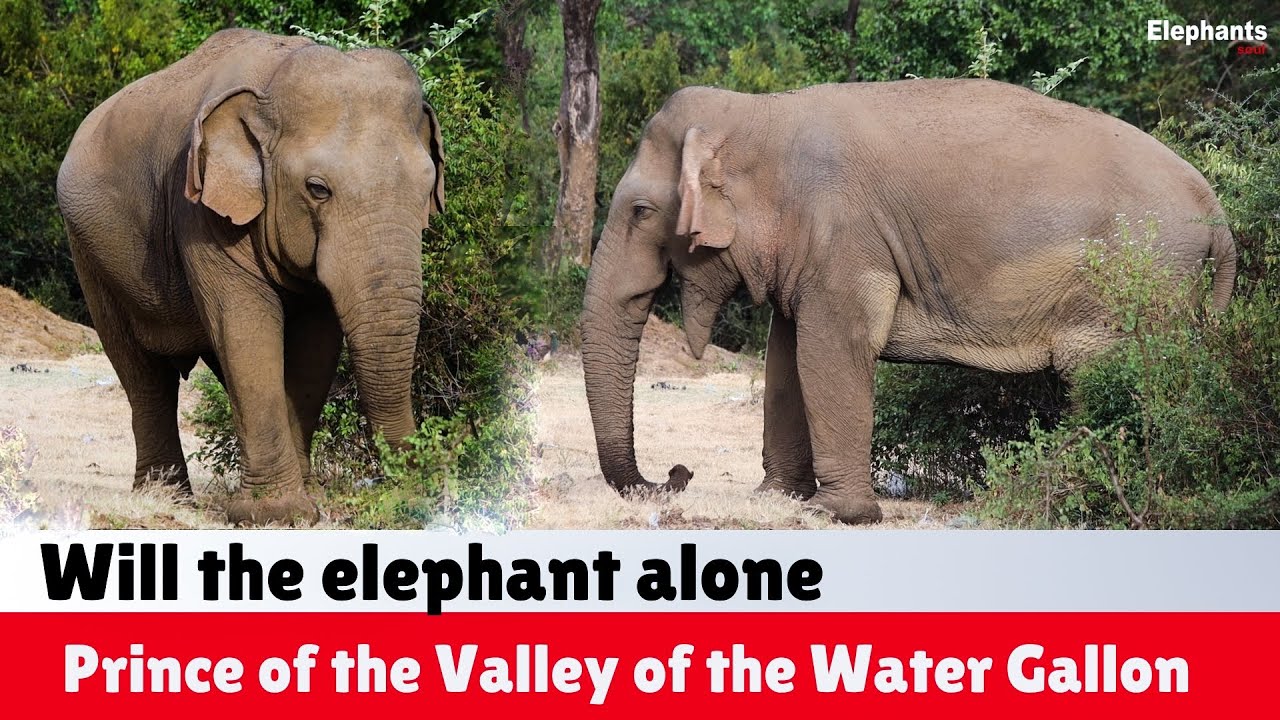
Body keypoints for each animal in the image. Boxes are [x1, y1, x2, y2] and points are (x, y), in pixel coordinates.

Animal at [56, 29, 444, 525]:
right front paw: (277, 514)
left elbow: (313, 346)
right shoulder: (198, 210)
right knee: (142, 373)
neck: (272, 84)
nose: (415, 492)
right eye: (317, 189)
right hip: (88, 254)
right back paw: (166, 499)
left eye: (427, 187)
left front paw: (305, 501)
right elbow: (245, 328)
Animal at [581, 79, 1236, 524]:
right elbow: (787, 358)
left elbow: (832, 352)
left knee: (1102, 379)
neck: (761, 111)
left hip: (1140, 280)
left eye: (641, 211)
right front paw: (776, 498)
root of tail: (1216, 212)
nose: (676, 473)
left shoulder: (845, 237)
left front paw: (835, 513)